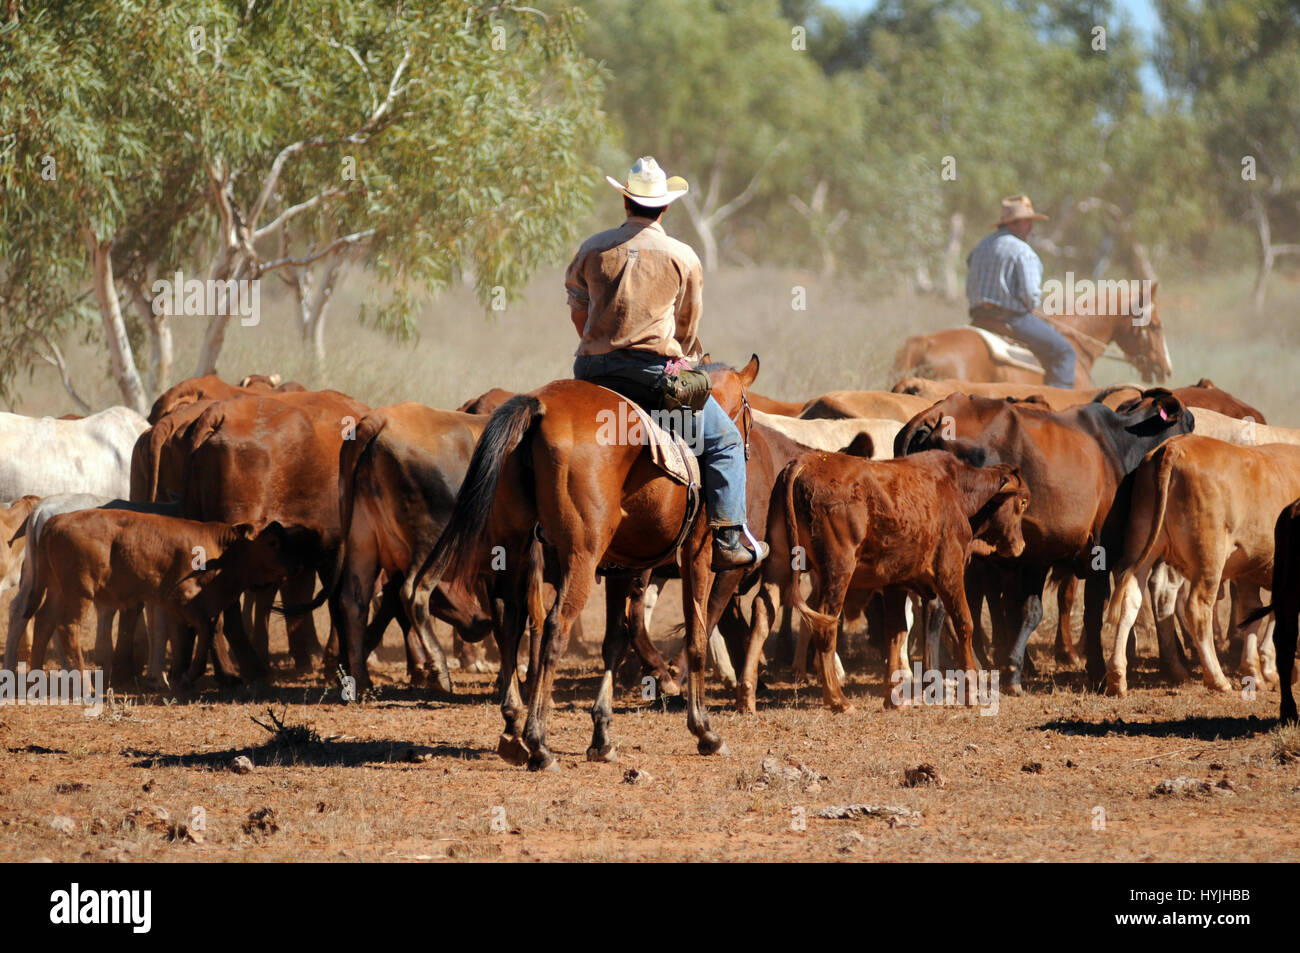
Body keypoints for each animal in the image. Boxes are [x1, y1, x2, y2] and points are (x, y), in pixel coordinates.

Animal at [13, 510, 312, 690]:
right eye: (272, 543)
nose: (297, 566)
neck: (222, 551)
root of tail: (56, 520)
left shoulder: (177, 606)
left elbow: (186, 634)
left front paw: (177, 676)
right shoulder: (183, 597)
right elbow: (204, 630)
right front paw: (190, 675)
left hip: (56, 588)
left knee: (43, 622)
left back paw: (33, 680)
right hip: (79, 591)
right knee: (66, 627)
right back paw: (84, 683)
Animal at [741, 447, 1029, 713]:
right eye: (1023, 502)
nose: (1021, 546)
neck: (956, 489)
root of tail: (805, 462)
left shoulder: (895, 582)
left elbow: (896, 632)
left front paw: (894, 697)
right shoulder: (949, 570)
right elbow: (964, 624)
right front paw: (971, 693)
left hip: (779, 561)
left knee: (763, 611)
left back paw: (747, 695)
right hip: (838, 569)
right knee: (825, 623)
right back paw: (837, 699)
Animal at [895, 388, 1194, 692]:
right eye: (1189, 423)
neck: (1118, 445)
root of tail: (935, 414)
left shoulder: (1035, 559)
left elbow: (1027, 610)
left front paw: (1014, 669)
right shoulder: (1100, 550)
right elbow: (1092, 612)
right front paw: (1097, 671)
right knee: (940, 607)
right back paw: (940, 674)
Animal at [1102, 436, 1300, 696]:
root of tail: (1174, 446)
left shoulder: (1250, 569)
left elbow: (1254, 612)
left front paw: (1257, 673)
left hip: (1143, 541)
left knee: (1132, 598)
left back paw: (1118, 678)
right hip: (1209, 555)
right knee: (1197, 608)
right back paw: (1217, 679)